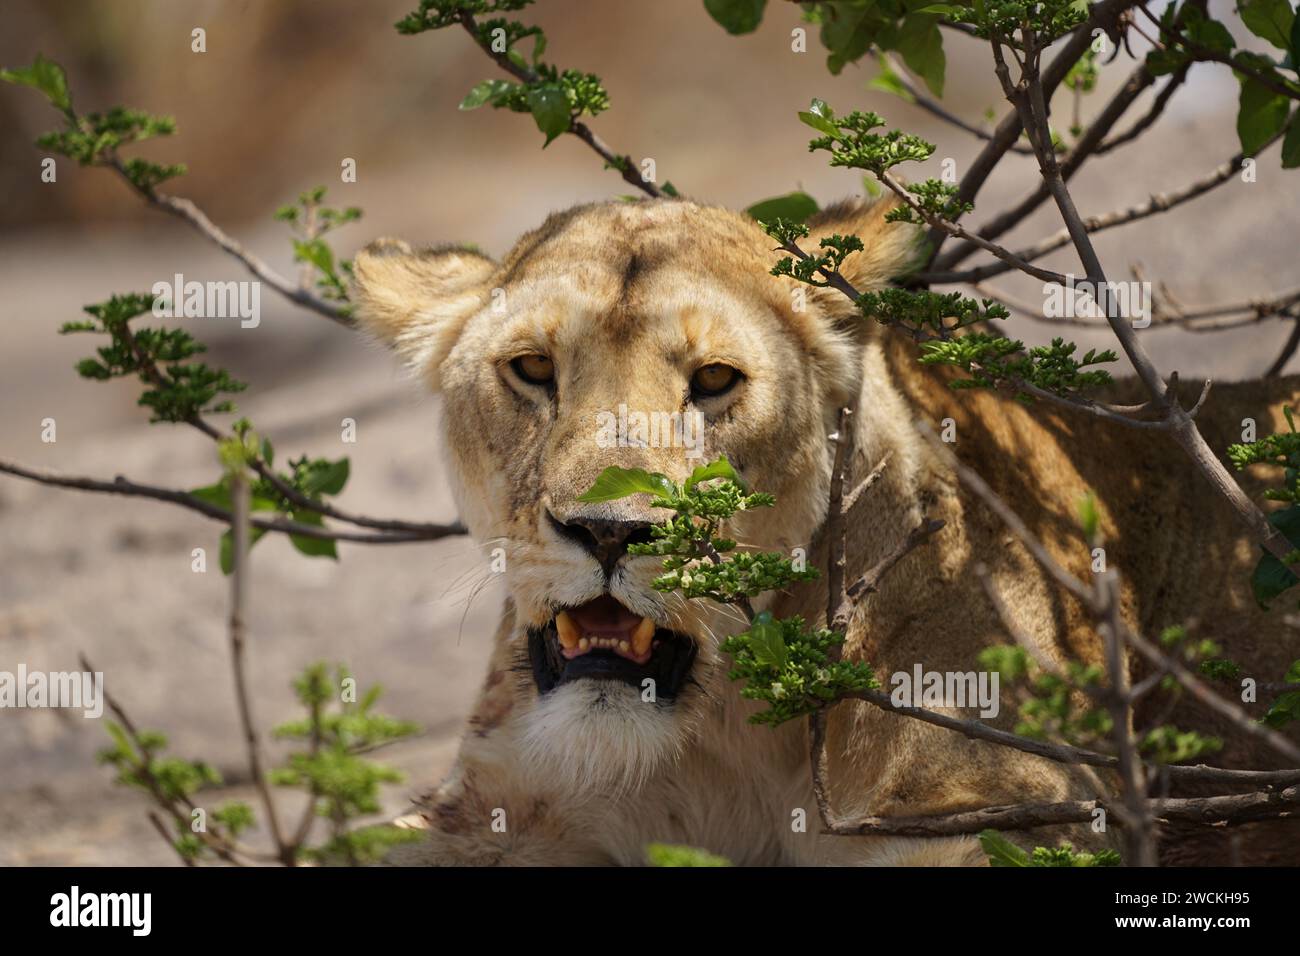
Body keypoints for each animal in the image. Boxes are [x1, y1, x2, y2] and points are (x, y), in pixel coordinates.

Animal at [351, 196, 1300, 866]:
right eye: (533, 369)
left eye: (715, 381)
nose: (608, 532)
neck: (716, 733)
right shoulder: (491, 808)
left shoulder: (1013, 804)